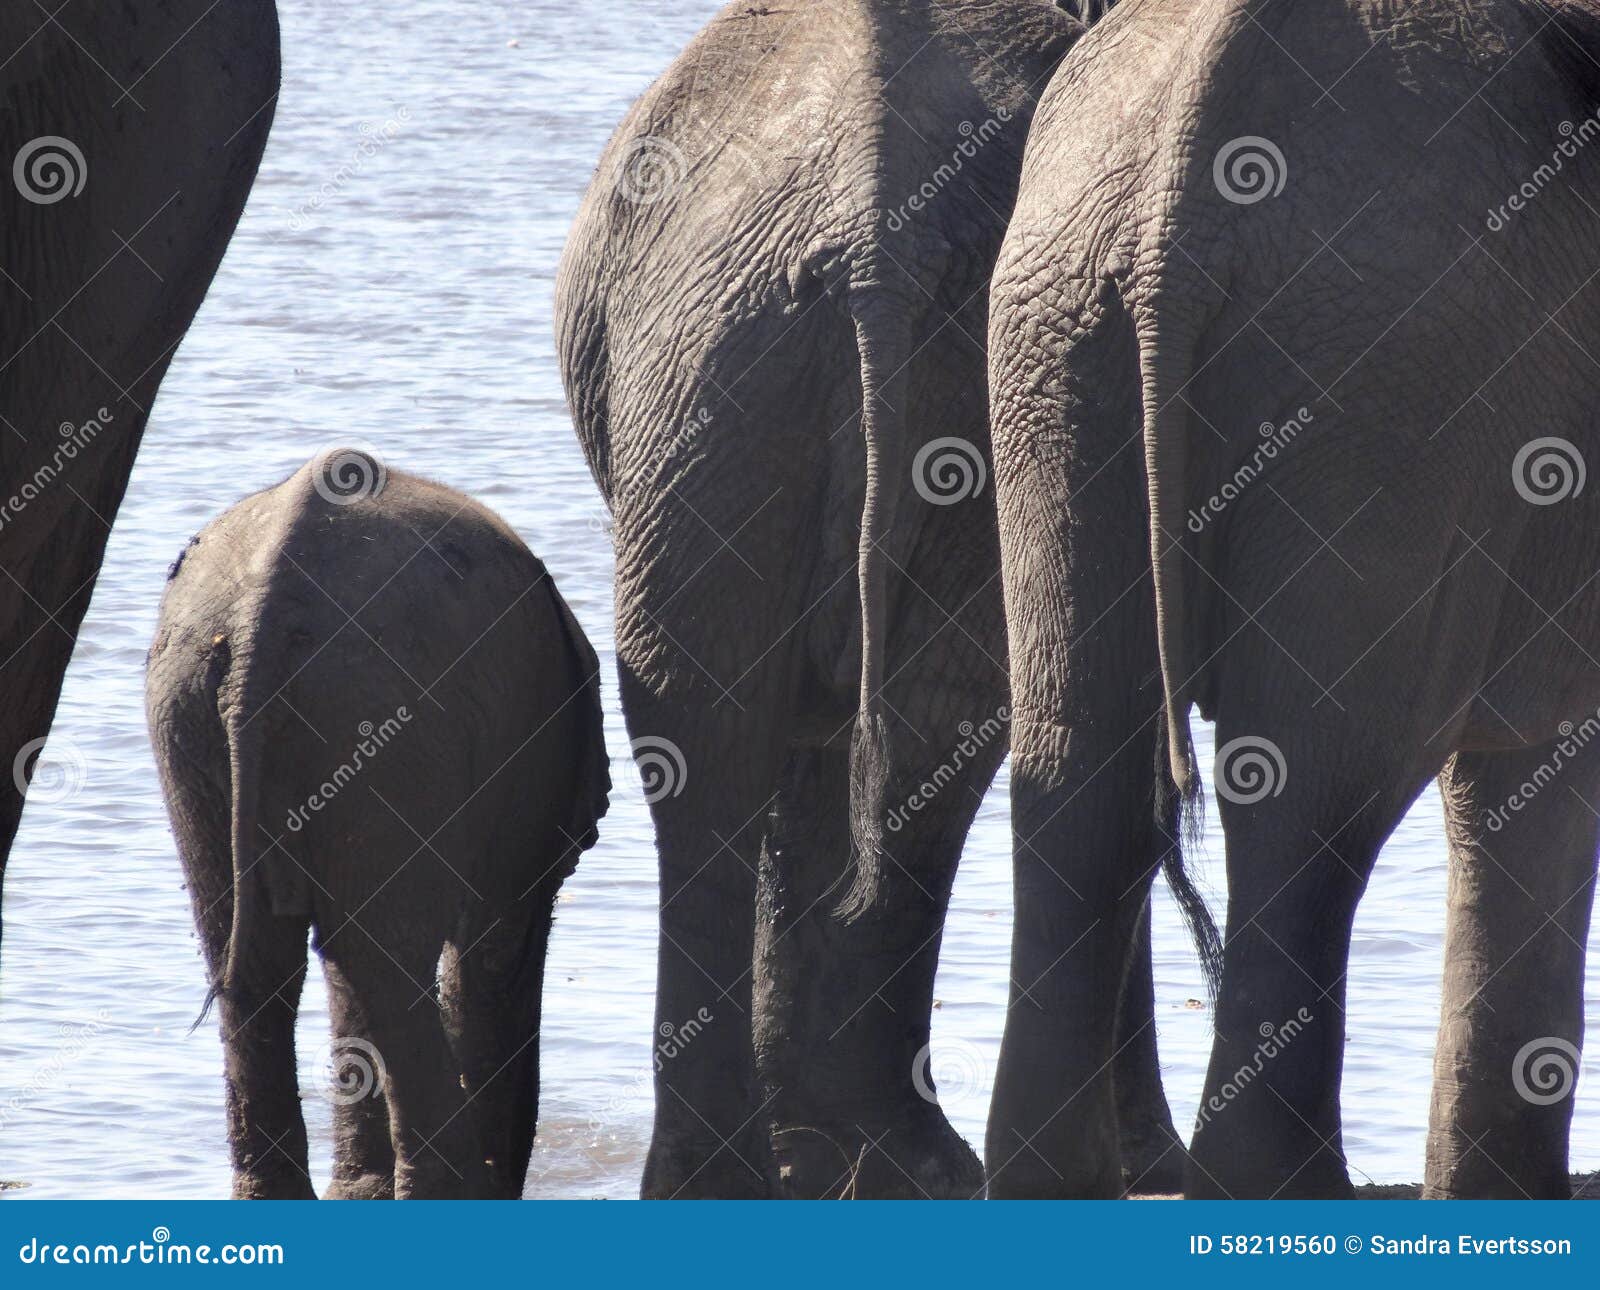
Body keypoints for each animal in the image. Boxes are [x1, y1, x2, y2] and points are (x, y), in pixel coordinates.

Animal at [146, 451, 609, 1198]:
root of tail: (260, 615)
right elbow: (494, 952)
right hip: (380, 721)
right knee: (384, 963)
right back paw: (449, 1191)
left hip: (192, 714)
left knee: (262, 962)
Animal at [557, 0, 1212, 1198]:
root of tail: (877, 236)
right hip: (730, 371)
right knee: (784, 729)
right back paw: (838, 1160)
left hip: (723, 375)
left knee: (766, 730)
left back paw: (819, 1160)